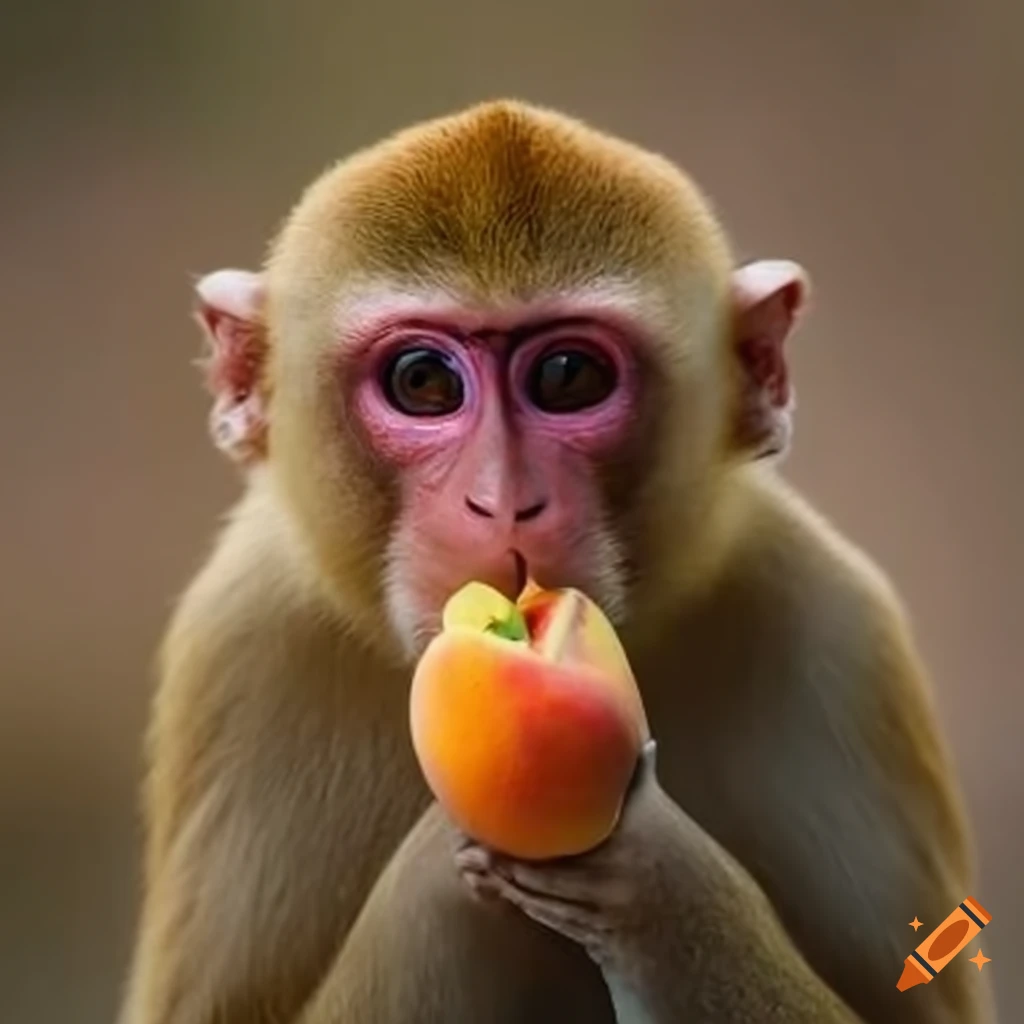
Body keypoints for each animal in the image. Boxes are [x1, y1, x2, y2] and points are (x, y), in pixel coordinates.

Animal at [118, 100, 990, 1024]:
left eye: (569, 375)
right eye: (423, 380)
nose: (503, 500)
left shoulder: (835, 630)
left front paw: (657, 881)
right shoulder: (241, 639)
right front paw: (441, 867)